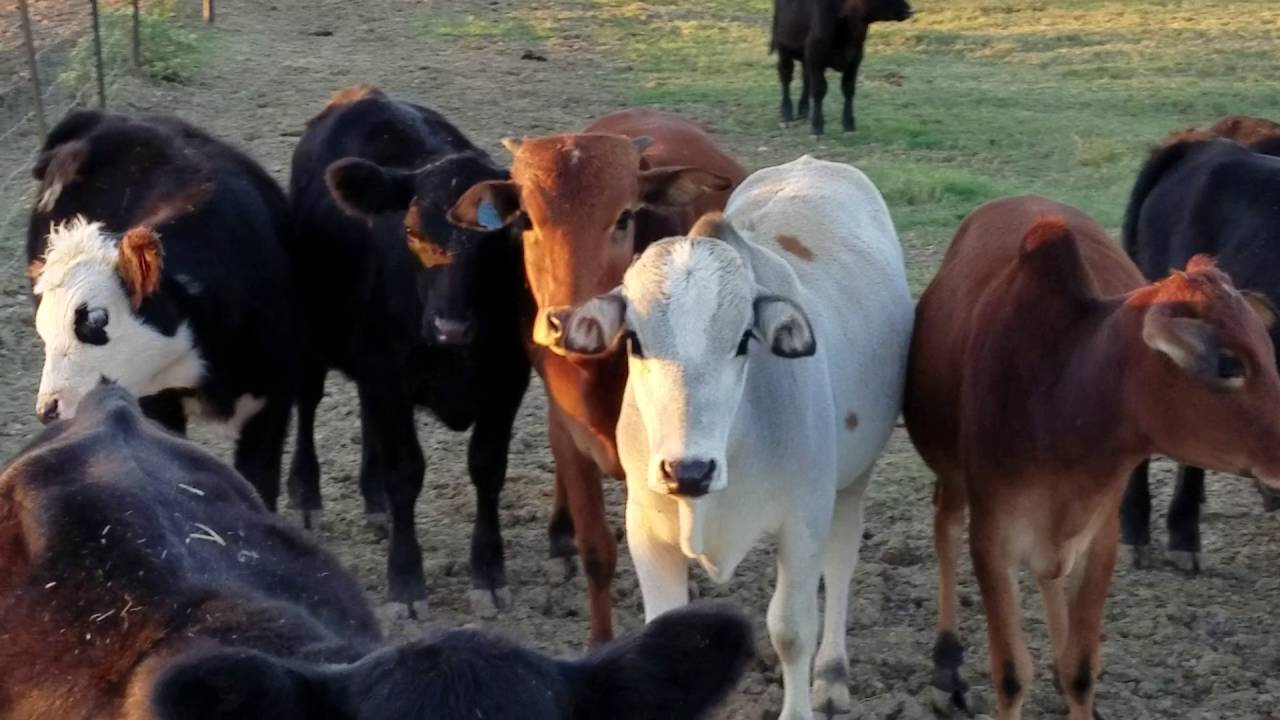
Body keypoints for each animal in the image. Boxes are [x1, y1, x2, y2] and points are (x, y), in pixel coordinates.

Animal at [25, 110, 293, 510]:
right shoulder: (155, 402)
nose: (48, 410)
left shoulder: (271, 405)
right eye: (43, 331)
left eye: (96, 319)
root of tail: (98, 120)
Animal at [287, 85, 532, 617]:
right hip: (315, 331)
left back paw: (373, 500)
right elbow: (405, 472)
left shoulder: (508, 381)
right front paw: (406, 579)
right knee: (309, 402)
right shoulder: (389, 374)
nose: (450, 326)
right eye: (413, 232)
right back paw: (305, 494)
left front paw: (489, 572)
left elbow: (488, 467)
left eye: (498, 240)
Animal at [545, 155, 914, 719]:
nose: (688, 470)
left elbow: (791, 630)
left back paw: (832, 673)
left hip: (852, 481)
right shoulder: (646, 526)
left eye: (744, 340)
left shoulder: (803, 519)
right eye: (634, 340)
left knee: (841, 562)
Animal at [770, 0, 914, 136]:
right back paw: (786, 116)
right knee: (786, 76)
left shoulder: (855, 59)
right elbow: (819, 90)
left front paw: (849, 126)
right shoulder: (815, 55)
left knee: (805, 78)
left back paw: (803, 112)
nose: (910, 10)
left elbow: (848, 89)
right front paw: (817, 128)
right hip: (783, 46)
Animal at [904, 195, 1280, 720]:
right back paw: (947, 668)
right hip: (952, 475)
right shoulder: (992, 540)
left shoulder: (1099, 536)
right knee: (945, 527)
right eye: (1229, 364)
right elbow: (1011, 675)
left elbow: (1080, 670)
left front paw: (1072, 684)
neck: (1065, 386)